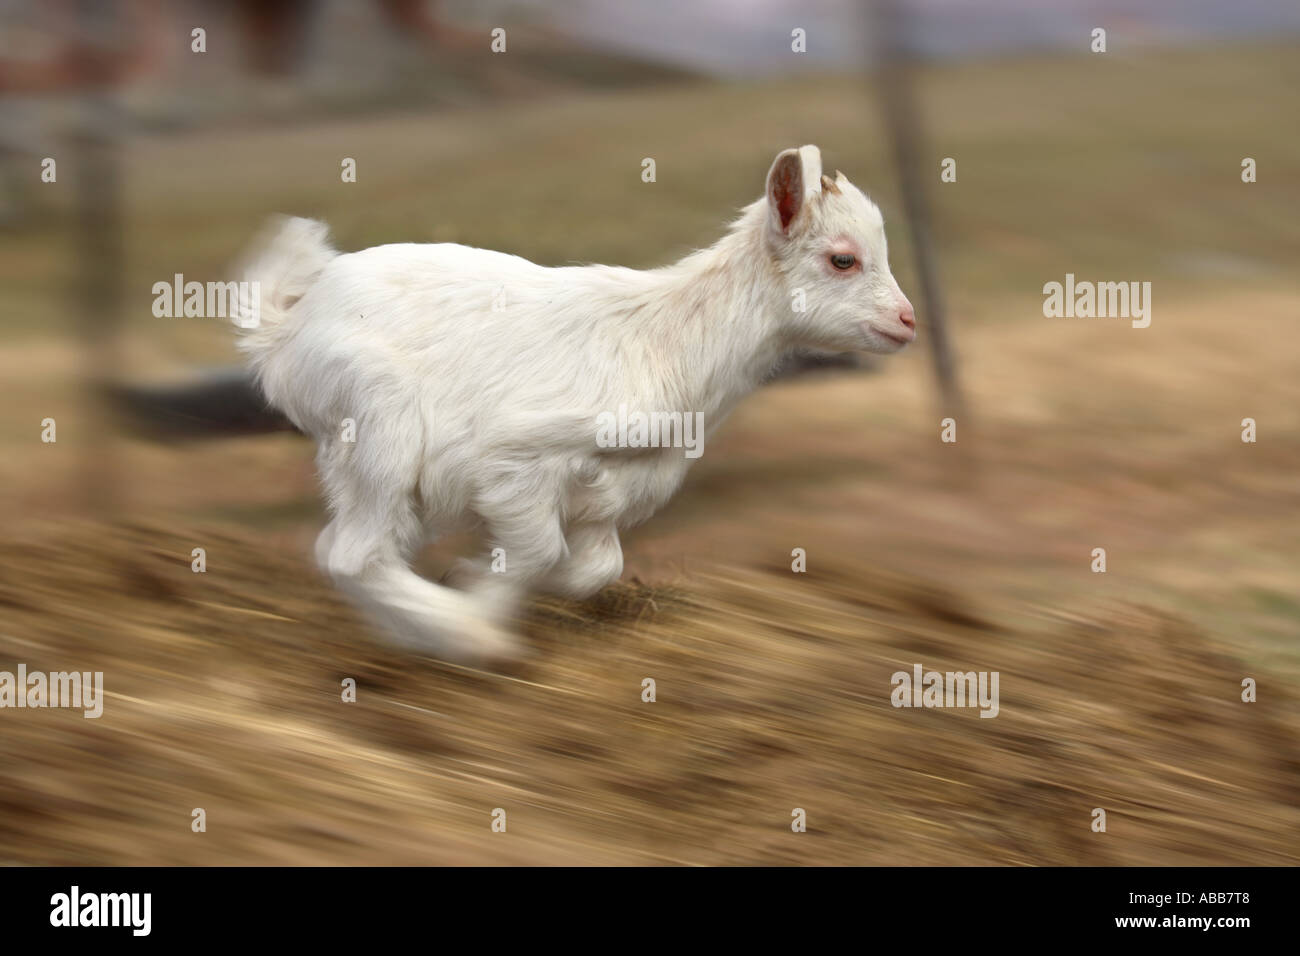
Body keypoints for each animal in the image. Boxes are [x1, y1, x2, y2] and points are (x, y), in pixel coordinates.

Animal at [233, 145, 916, 664]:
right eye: (843, 259)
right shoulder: (517, 457)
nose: (907, 322)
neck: (667, 343)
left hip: (377, 467)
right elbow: (542, 550)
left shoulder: (606, 494)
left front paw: (472, 577)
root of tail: (286, 325)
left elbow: (595, 568)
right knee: (353, 553)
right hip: (380, 418)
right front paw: (481, 614)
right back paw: (461, 635)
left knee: (345, 544)